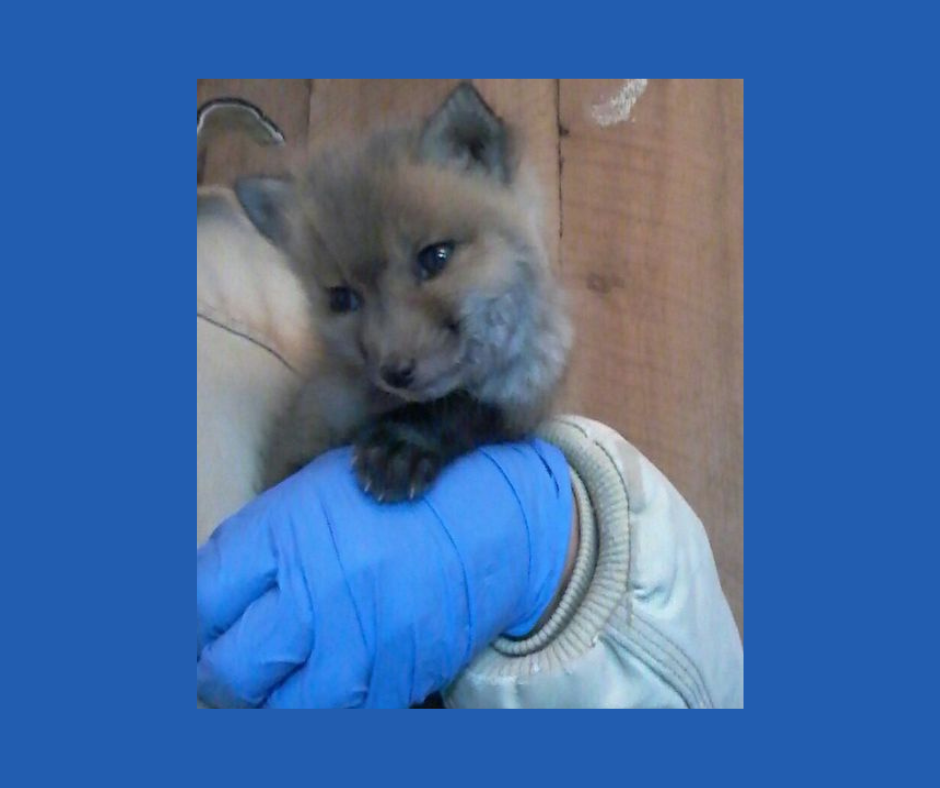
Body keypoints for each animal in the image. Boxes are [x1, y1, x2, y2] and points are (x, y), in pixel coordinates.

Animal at [235, 82, 572, 502]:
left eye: (436, 257)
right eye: (341, 299)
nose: (395, 372)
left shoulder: (524, 407)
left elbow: (469, 412)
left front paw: (405, 441)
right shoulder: (302, 435)